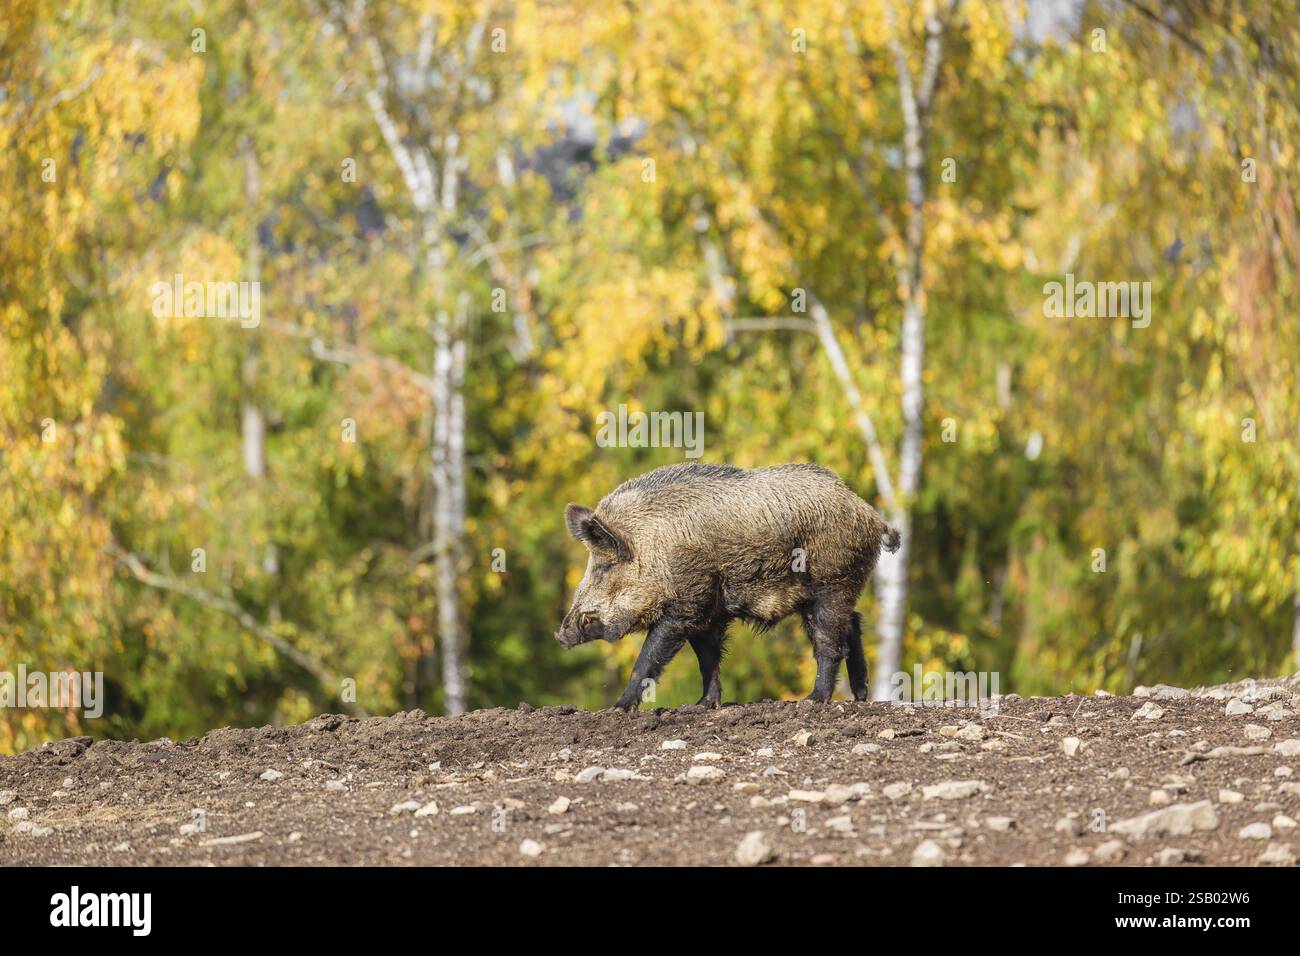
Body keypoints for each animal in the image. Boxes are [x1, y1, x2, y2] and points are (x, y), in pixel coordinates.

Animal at [556, 462, 901, 711]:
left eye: (604, 566)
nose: (561, 635)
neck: (654, 548)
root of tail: (870, 514)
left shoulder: (687, 605)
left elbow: (648, 658)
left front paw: (617, 709)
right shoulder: (707, 612)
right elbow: (707, 659)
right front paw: (701, 706)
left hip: (833, 582)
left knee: (829, 642)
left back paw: (812, 701)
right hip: (819, 595)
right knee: (852, 624)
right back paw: (859, 695)